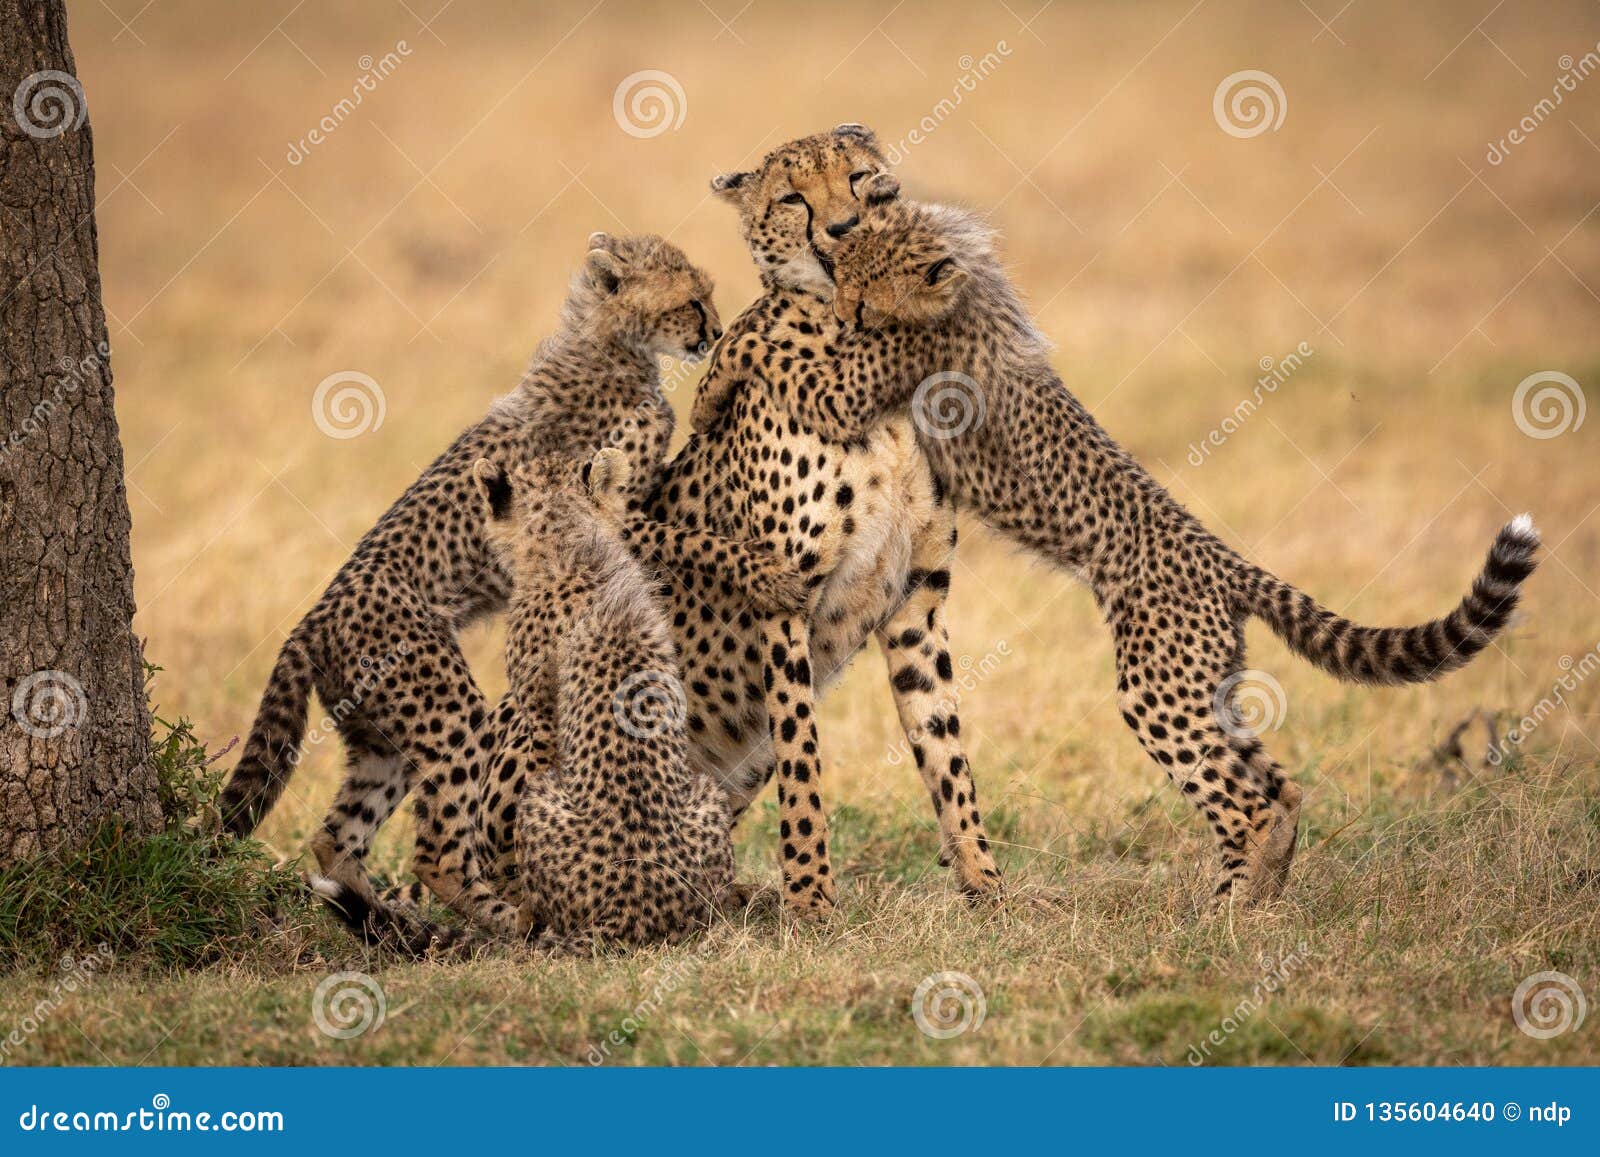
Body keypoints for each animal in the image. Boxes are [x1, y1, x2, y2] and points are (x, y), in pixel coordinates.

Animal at [217, 232, 804, 913]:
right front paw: (768, 572)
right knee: (438, 848)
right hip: (445, 713)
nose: (712, 330)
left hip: (381, 739)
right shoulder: (603, 509)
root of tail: (310, 622)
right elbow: (694, 538)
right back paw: (498, 914)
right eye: (692, 299)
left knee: (336, 836)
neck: (612, 347)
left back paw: (382, 916)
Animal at [729, 186, 1542, 903]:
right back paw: (1259, 896)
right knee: (1282, 789)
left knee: (1248, 804)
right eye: (844, 277)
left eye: (865, 296)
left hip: (1157, 689)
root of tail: (1224, 558)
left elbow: (785, 366)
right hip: (1209, 685)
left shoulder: (878, 375)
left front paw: (731, 353)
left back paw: (1226, 912)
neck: (967, 284)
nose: (843, 310)